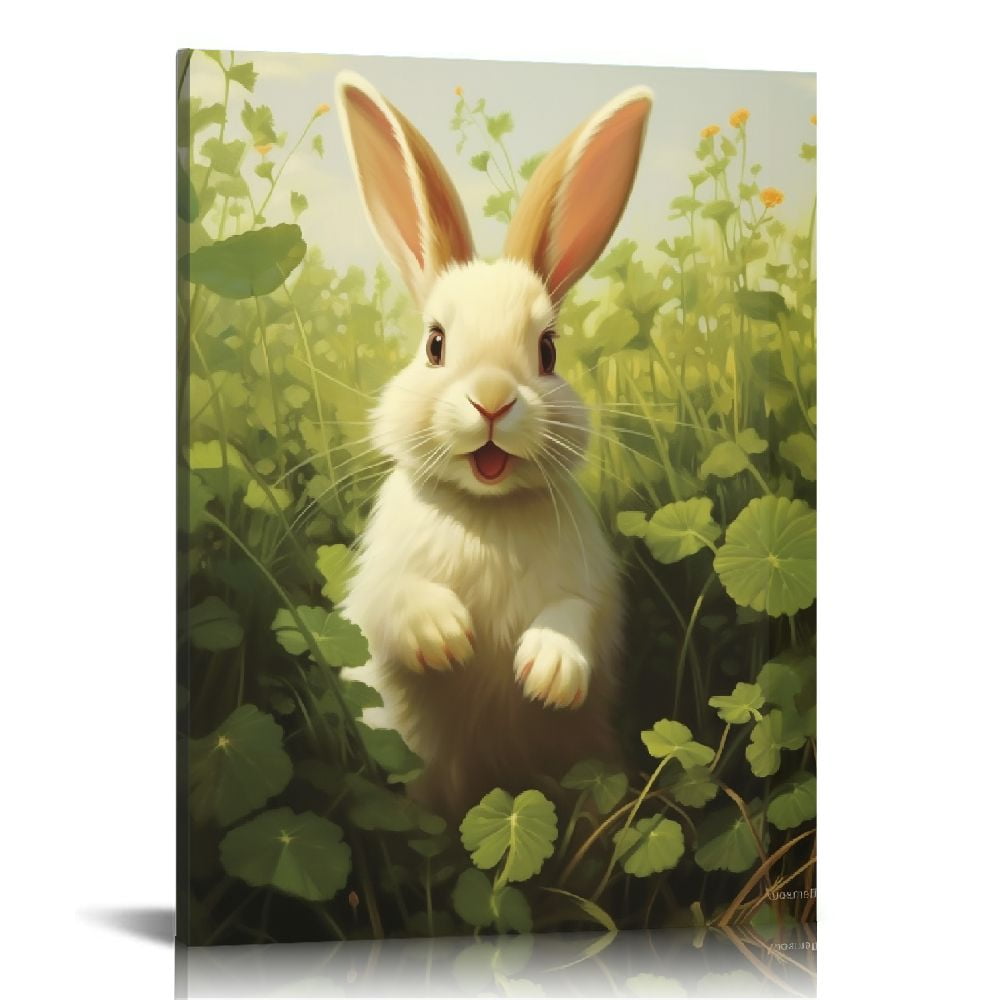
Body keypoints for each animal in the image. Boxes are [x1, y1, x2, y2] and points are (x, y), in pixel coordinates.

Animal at [334, 70, 653, 820]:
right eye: (434, 344)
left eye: (548, 351)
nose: (491, 400)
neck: (487, 511)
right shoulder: (376, 588)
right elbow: (390, 602)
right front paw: (445, 637)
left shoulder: (595, 596)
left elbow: (577, 620)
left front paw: (547, 672)